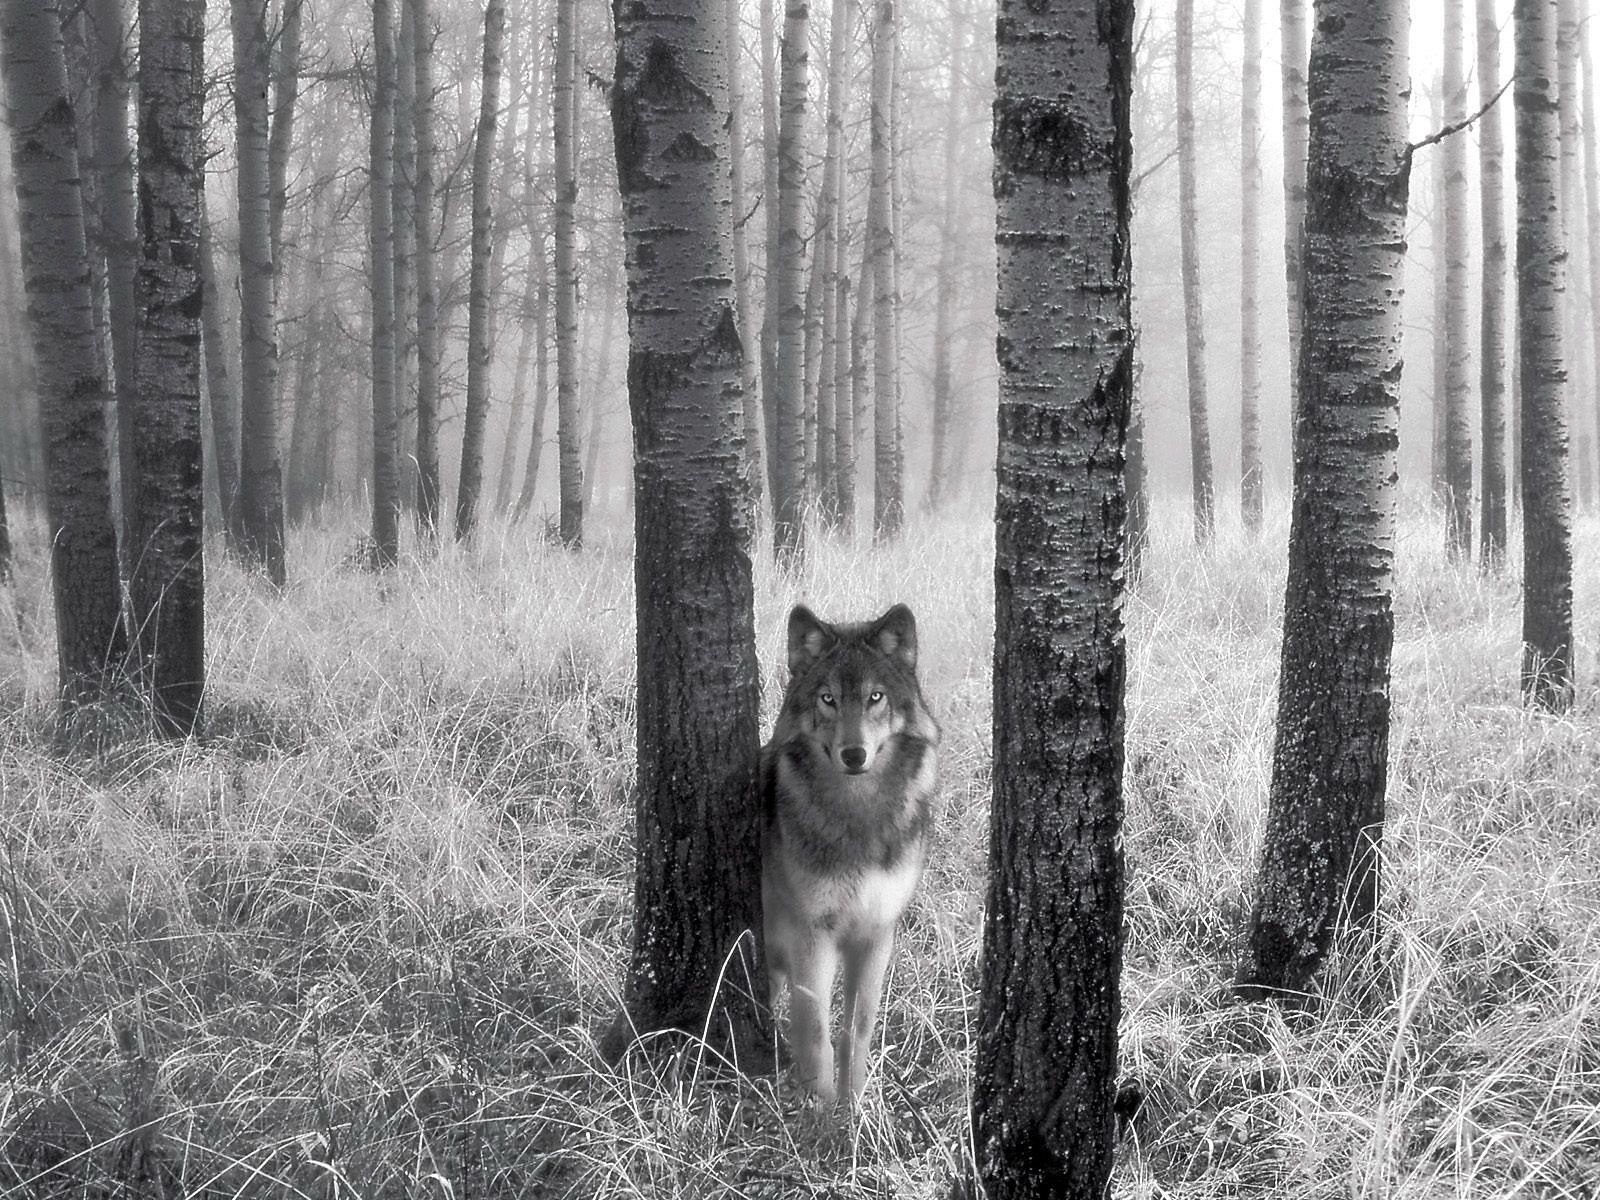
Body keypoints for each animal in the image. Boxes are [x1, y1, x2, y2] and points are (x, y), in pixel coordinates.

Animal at [761, 602, 940, 1105]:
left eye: (875, 697)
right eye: (828, 699)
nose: (854, 754)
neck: (858, 815)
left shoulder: (877, 933)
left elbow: (857, 1030)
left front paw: (854, 1106)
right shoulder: (812, 934)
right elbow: (815, 1030)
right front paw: (819, 1113)